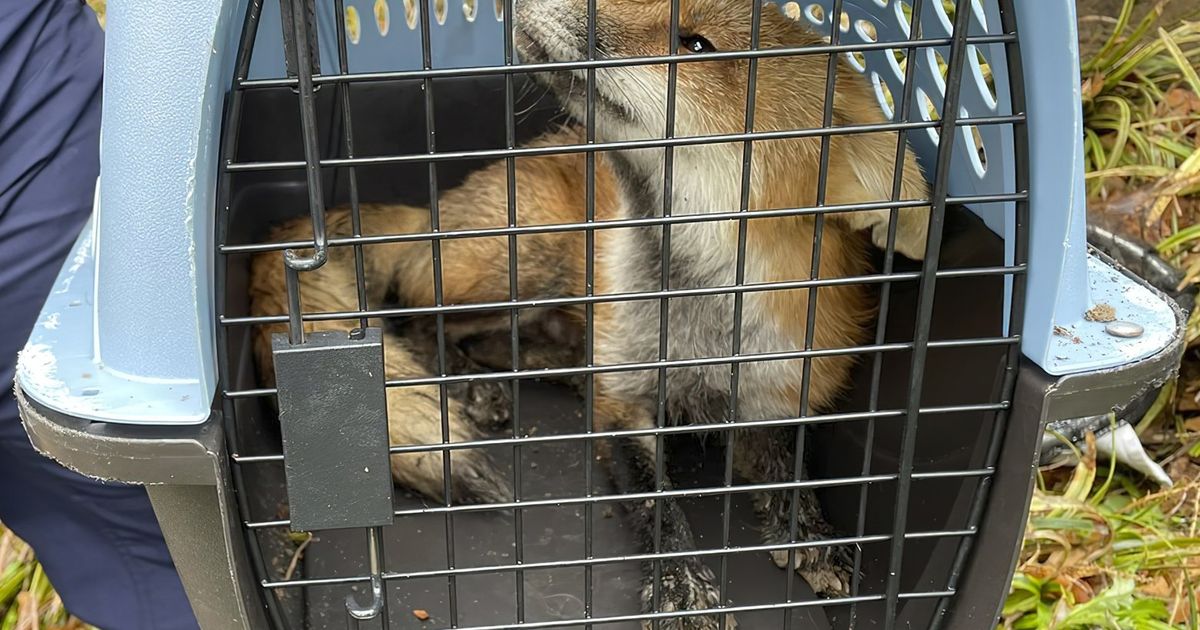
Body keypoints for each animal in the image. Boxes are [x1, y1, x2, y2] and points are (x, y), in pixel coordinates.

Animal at [248, 0, 931, 626]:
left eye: (697, 43)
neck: (695, 323)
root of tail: (435, 211)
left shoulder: (777, 392)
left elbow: (792, 470)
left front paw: (813, 537)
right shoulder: (625, 403)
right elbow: (658, 502)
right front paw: (682, 587)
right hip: (525, 260)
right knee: (413, 316)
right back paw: (472, 387)